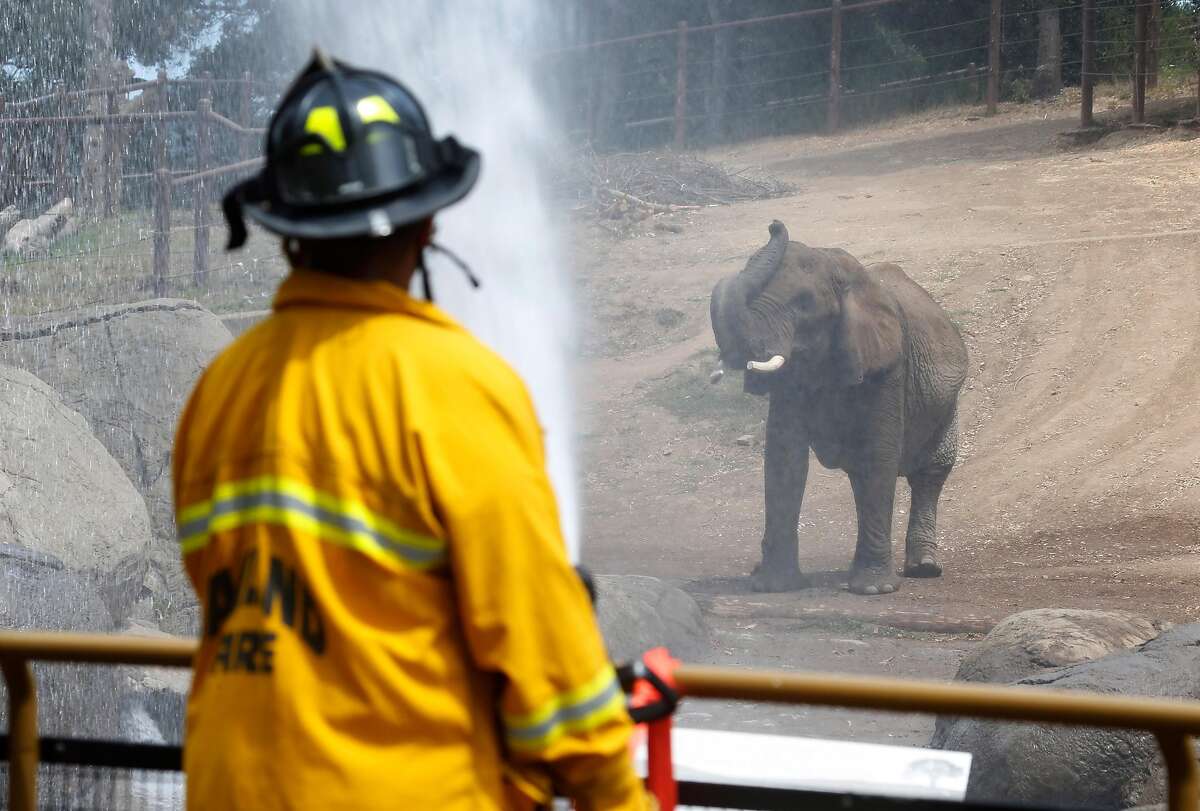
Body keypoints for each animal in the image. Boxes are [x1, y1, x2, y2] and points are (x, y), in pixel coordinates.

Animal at [709, 220, 968, 595]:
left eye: (804, 303)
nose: (775, 225)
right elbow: (784, 457)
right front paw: (774, 585)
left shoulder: (890, 364)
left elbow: (878, 453)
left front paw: (873, 590)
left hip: (947, 405)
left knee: (931, 471)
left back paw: (923, 568)